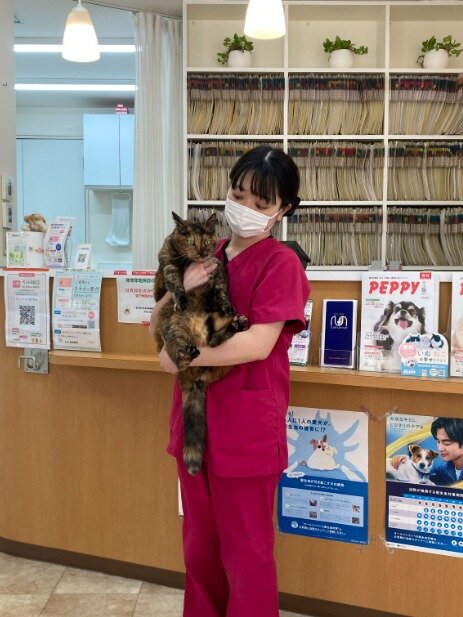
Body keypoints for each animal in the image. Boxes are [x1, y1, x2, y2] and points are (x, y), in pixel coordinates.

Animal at [154, 212, 248, 475]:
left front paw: (227, 305)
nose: (201, 252)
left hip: (215, 328)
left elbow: (223, 291)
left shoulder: (217, 270)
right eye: (190, 241)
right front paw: (182, 297)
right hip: (172, 326)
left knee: (215, 341)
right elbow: (175, 280)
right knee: (179, 352)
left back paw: (237, 324)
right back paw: (186, 353)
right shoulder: (168, 262)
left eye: (206, 242)